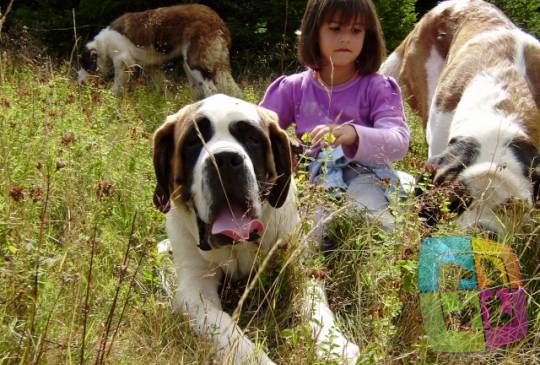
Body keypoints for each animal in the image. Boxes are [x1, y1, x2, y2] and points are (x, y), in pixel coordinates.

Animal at [77, 3, 243, 98]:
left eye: (85, 65)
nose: (79, 83)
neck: (103, 46)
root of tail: (217, 20)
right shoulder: (152, 67)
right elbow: (160, 85)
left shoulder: (122, 60)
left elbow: (117, 84)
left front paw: (110, 99)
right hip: (199, 64)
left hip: (195, 62)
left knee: (211, 90)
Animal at [152, 94, 360, 364]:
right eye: (193, 141)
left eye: (252, 138)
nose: (225, 160)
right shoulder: (194, 289)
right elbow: (223, 325)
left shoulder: (298, 262)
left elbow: (314, 302)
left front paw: (333, 344)